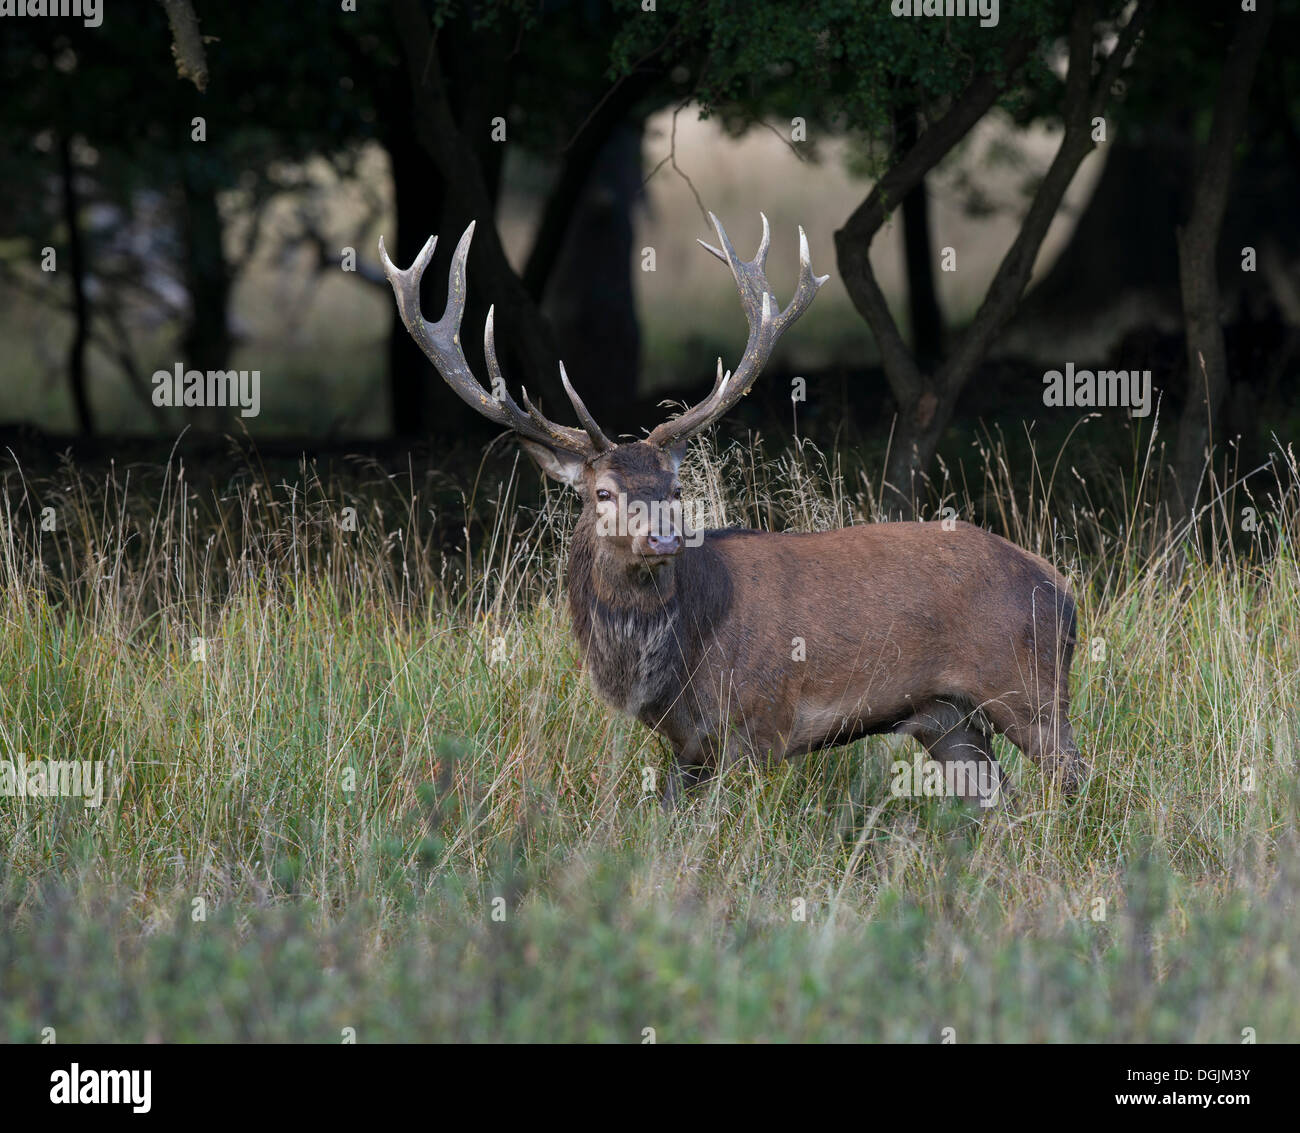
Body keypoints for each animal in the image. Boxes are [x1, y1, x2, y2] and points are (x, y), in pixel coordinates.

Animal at [379, 214, 1086, 809]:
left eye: (673, 487)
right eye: (601, 492)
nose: (663, 540)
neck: (671, 660)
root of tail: (1063, 588)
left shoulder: (761, 722)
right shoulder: (686, 748)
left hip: (1028, 686)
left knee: (1077, 779)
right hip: (947, 719)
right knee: (1000, 805)